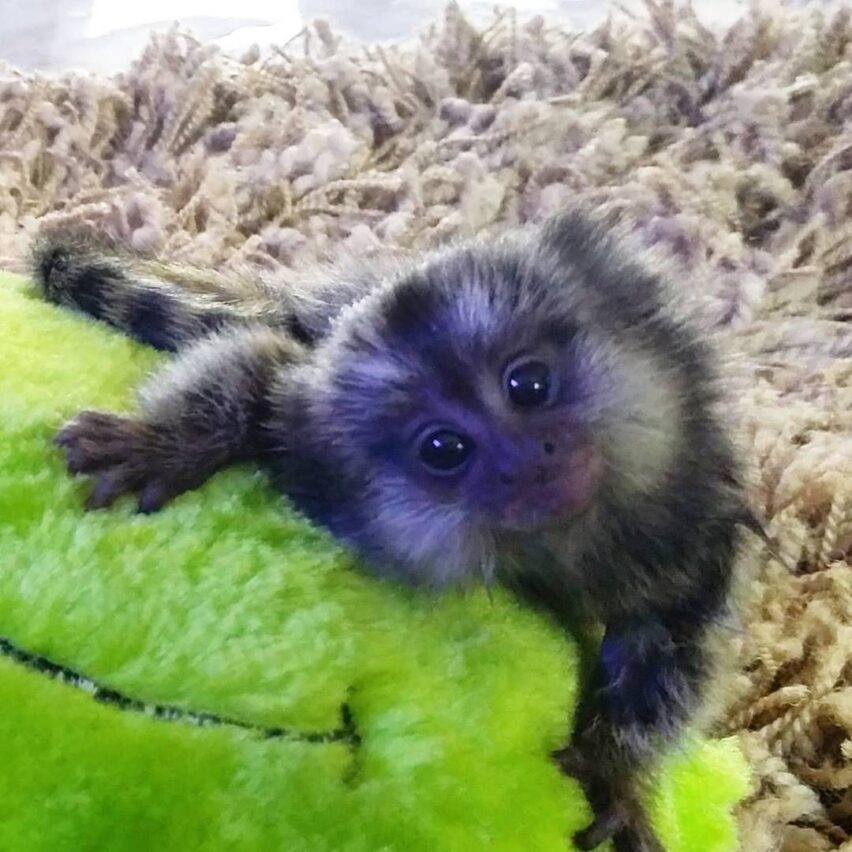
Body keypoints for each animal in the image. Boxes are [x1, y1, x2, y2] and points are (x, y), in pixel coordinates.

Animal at [29, 209, 749, 851]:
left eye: (528, 383)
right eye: (443, 449)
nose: (527, 462)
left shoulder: (695, 532)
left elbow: (672, 644)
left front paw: (616, 773)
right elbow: (263, 362)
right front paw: (165, 444)